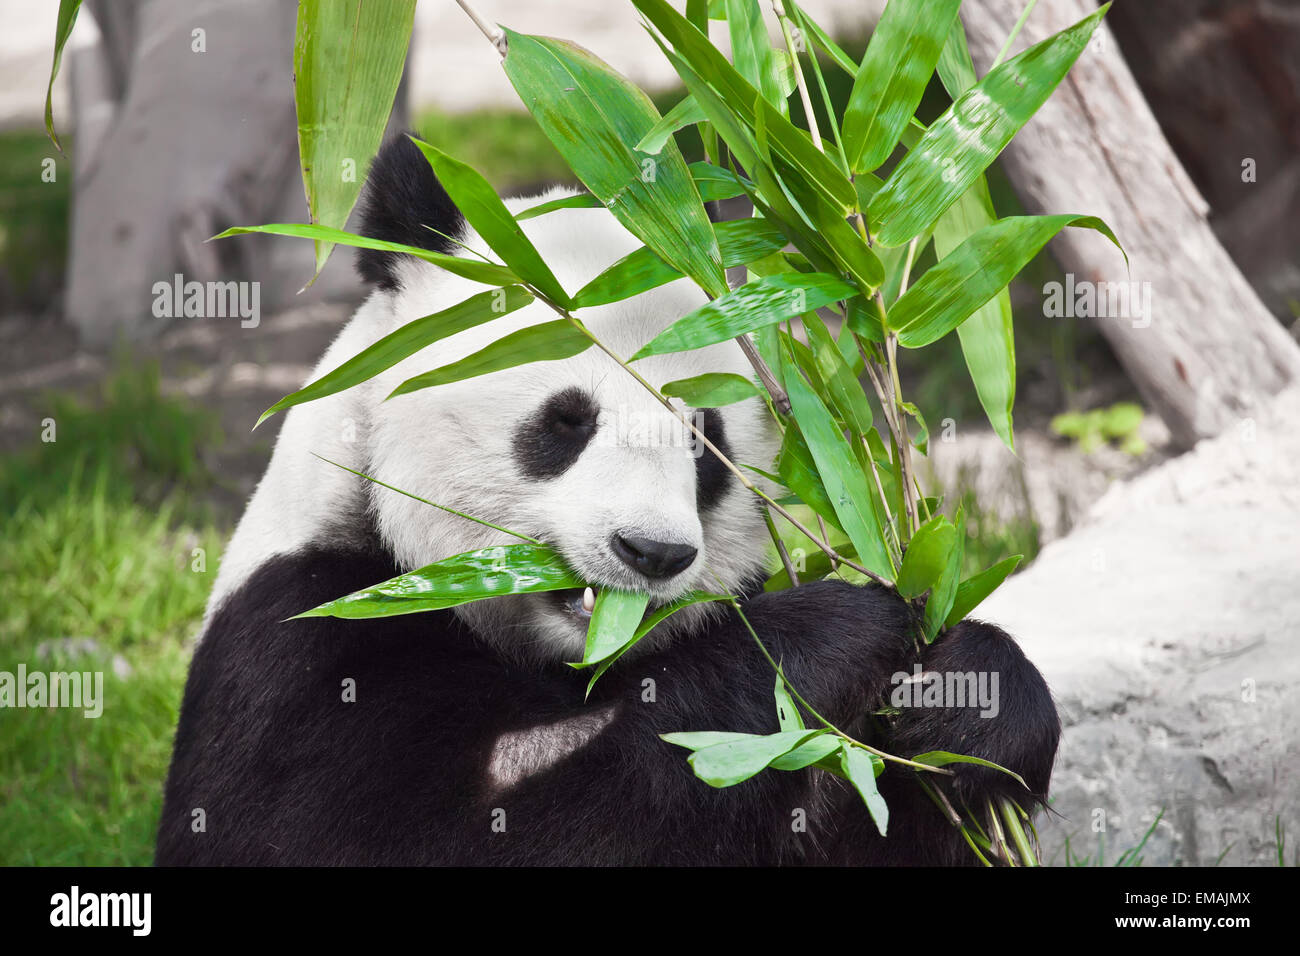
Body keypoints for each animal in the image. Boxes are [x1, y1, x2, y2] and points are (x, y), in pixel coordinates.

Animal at [155, 135, 1060, 866]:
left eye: (704, 440)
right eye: (566, 422)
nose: (651, 553)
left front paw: (973, 698)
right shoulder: (308, 635)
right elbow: (377, 835)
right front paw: (832, 631)